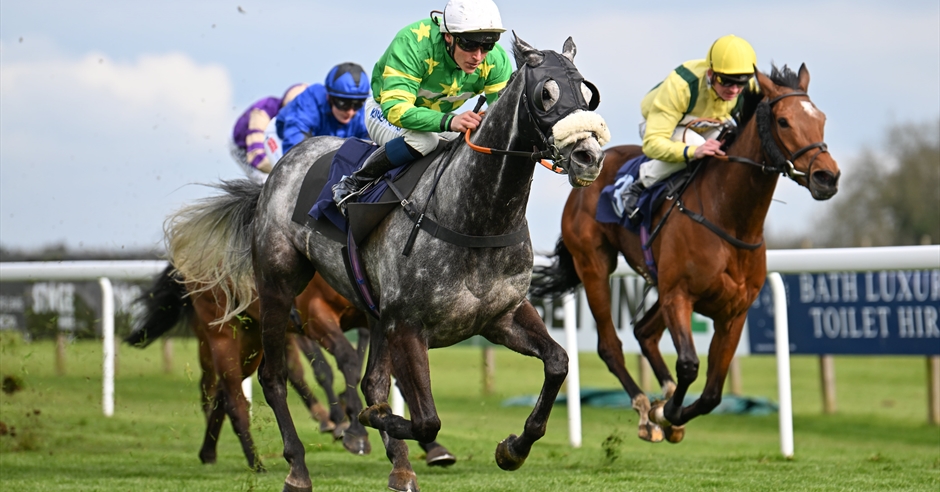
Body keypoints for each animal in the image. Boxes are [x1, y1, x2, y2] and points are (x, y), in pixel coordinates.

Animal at [165, 34, 608, 492]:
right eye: (545, 94)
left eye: (587, 94)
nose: (588, 156)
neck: (475, 219)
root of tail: (281, 169)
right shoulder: (408, 324)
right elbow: (425, 418)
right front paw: (366, 423)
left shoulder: (502, 316)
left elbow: (557, 363)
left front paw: (512, 449)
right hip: (275, 289)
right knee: (272, 379)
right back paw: (298, 467)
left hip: (371, 314)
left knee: (368, 380)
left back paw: (400, 468)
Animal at [530, 64, 840, 443]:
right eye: (783, 121)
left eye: (821, 118)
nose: (827, 176)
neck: (731, 220)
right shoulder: (679, 295)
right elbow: (690, 365)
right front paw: (666, 413)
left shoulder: (733, 312)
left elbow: (712, 393)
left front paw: (672, 412)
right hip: (595, 265)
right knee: (611, 345)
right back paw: (646, 411)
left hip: (659, 284)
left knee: (644, 332)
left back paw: (662, 397)